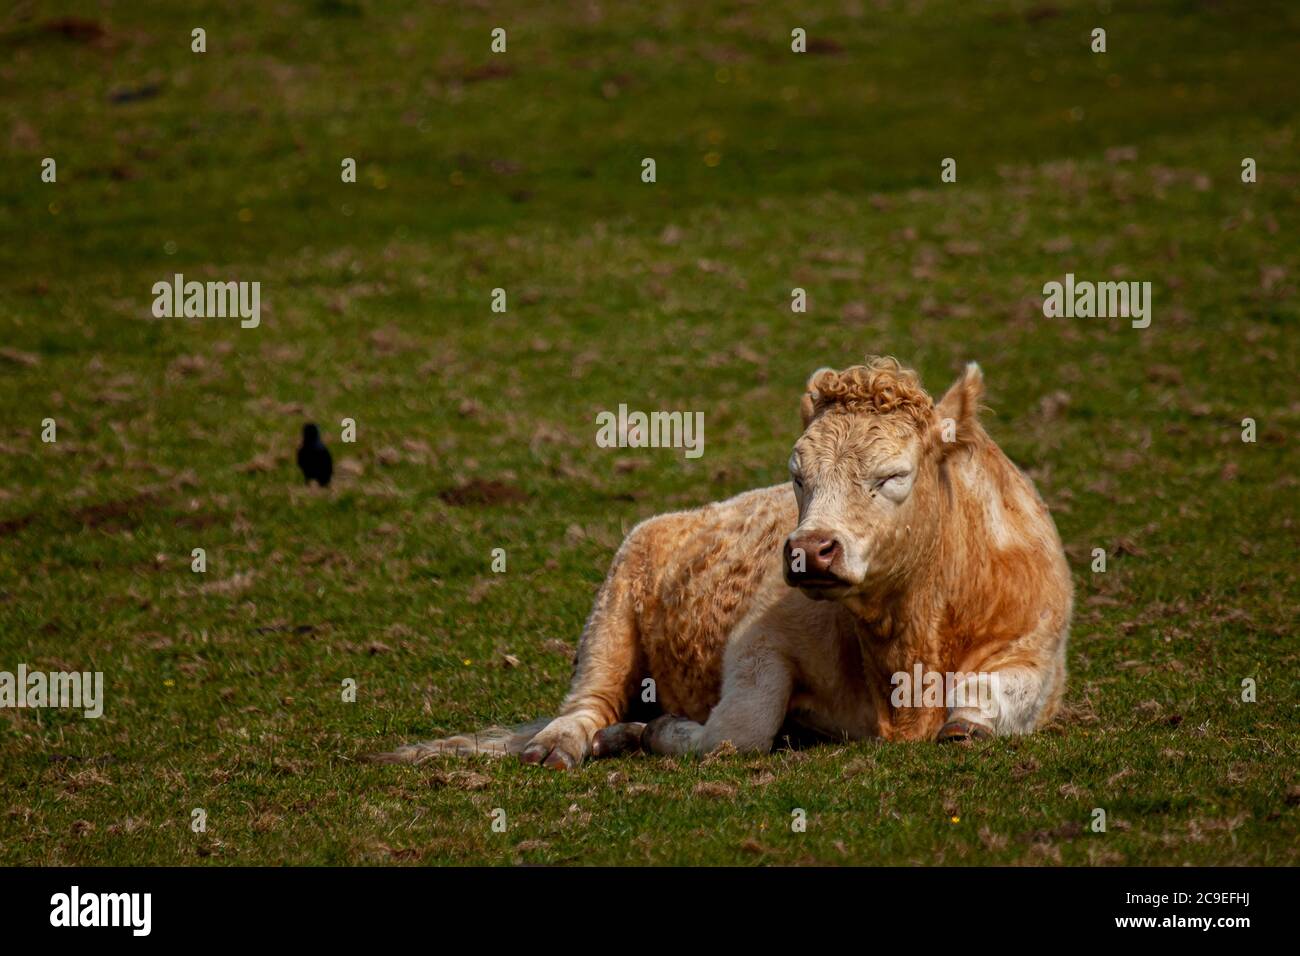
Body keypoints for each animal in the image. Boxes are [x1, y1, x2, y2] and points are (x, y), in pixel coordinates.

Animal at [372, 356, 1072, 769]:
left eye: (892, 476)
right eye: (796, 474)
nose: (809, 549)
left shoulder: (1039, 652)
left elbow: (984, 703)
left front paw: (965, 723)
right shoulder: (759, 642)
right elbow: (738, 729)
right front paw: (656, 735)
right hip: (610, 617)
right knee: (586, 704)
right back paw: (564, 744)